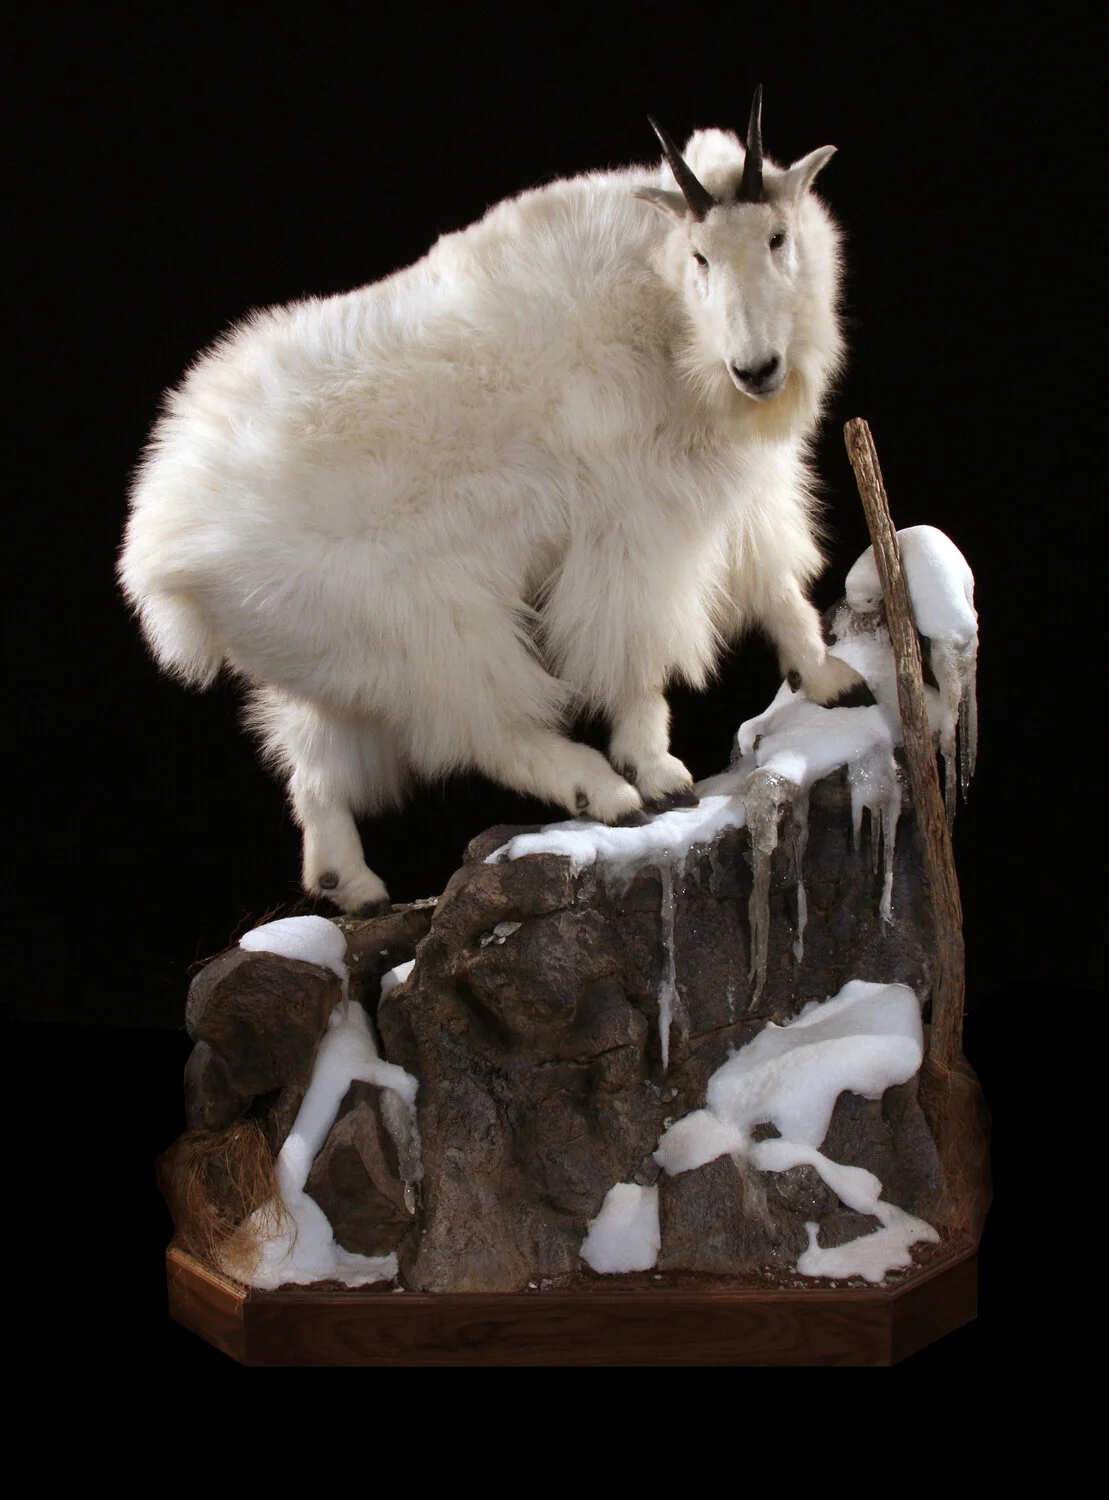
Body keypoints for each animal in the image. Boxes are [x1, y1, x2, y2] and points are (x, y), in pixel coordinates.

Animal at [119, 89, 865, 915]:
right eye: (700, 257)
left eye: (776, 237)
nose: (755, 369)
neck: (659, 307)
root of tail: (163, 554)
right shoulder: (633, 528)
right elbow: (636, 652)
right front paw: (655, 769)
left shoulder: (740, 498)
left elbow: (777, 590)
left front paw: (831, 679)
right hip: (430, 628)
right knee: (484, 730)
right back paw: (598, 790)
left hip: (332, 663)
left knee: (317, 764)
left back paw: (353, 885)